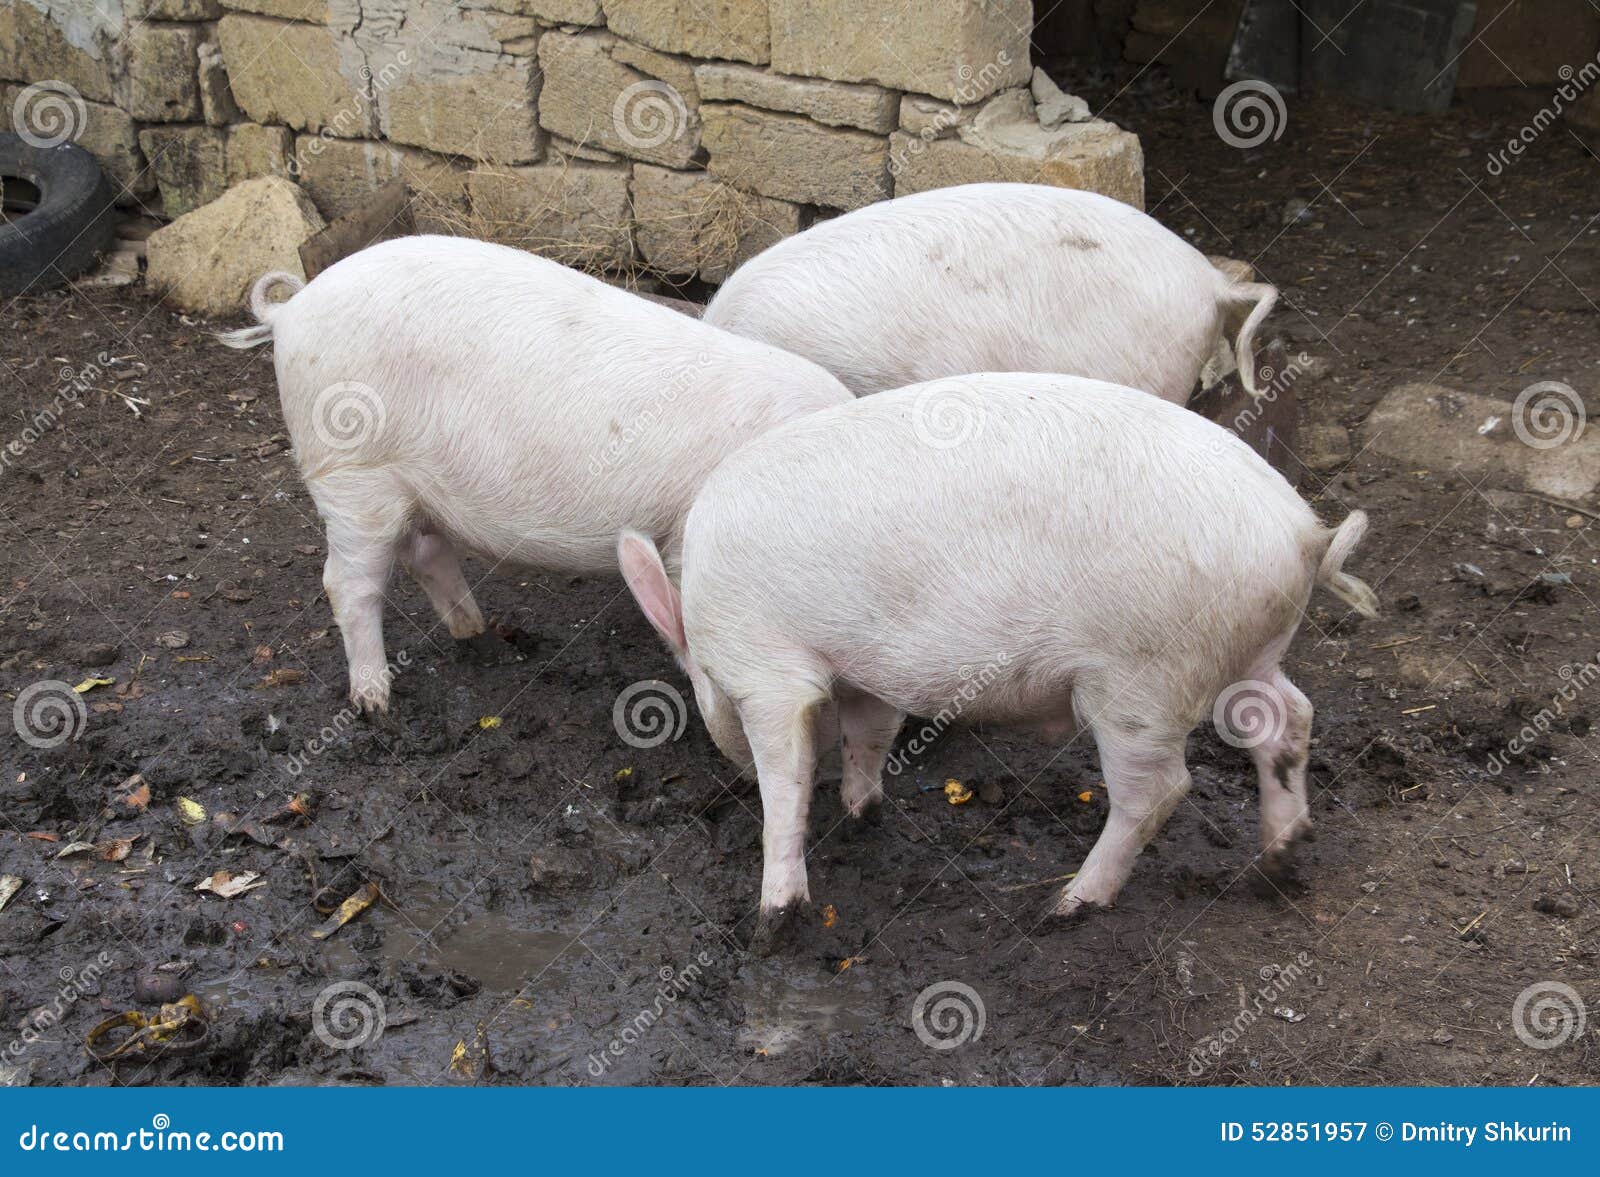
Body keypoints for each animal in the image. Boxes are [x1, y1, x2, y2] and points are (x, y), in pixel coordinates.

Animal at [220, 235, 853, 713]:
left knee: (424, 552)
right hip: (351, 473)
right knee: (347, 583)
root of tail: (293, 308)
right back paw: (375, 702)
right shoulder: (681, 541)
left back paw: (479, 634)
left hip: (409, 485)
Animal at [617, 372, 1377, 946]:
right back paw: (1278, 864)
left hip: (1142, 680)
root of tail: (1305, 533)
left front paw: (772, 924)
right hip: (1244, 655)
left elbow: (787, 778)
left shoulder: (765, 665)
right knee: (1288, 719)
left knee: (1161, 789)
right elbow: (869, 735)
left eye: (704, 695)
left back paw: (1065, 907)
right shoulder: (869, 670)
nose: (730, 773)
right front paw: (864, 814)